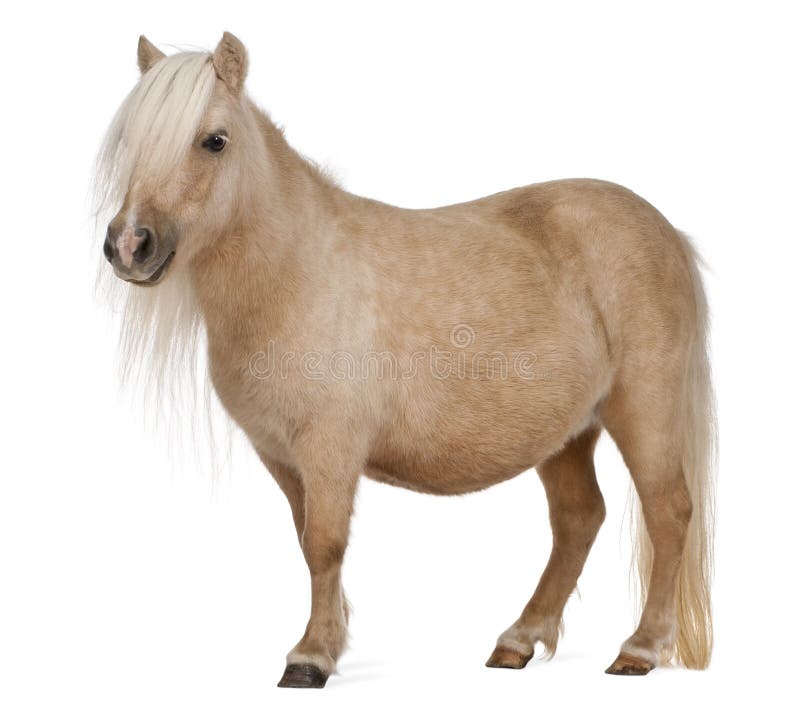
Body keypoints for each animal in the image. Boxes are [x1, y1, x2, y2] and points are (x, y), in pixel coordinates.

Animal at [95, 32, 716, 688]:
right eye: (131, 141)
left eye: (214, 140)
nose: (129, 245)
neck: (296, 271)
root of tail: (666, 231)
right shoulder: (281, 455)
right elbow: (306, 541)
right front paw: (328, 639)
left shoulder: (330, 448)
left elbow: (325, 544)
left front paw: (311, 657)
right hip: (569, 432)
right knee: (578, 519)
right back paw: (518, 641)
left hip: (643, 410)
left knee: (669, 513)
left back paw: (639, 649)